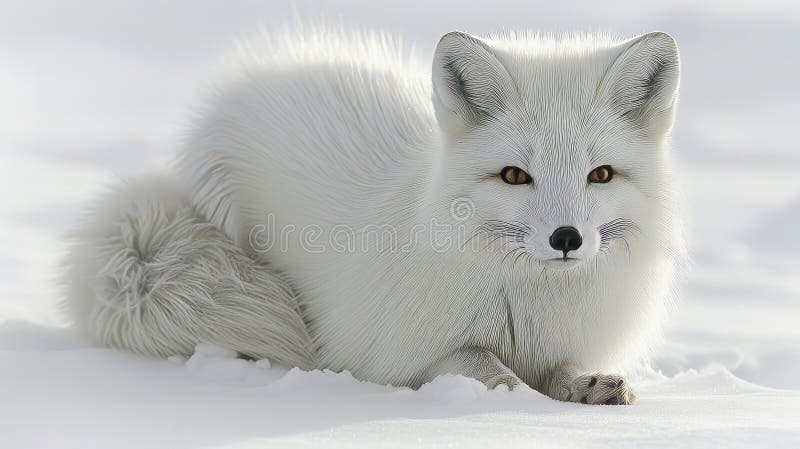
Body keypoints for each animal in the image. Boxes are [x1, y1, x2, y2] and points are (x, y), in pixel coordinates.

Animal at [63, 27, 682, 405]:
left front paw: (585, 387)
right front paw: (511, 400)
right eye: (514, 176)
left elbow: (561, 370)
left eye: (600, 175)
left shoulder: (564, 343)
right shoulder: (397, 357)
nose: (566, 238)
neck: (533, 305)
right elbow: (478, 367)